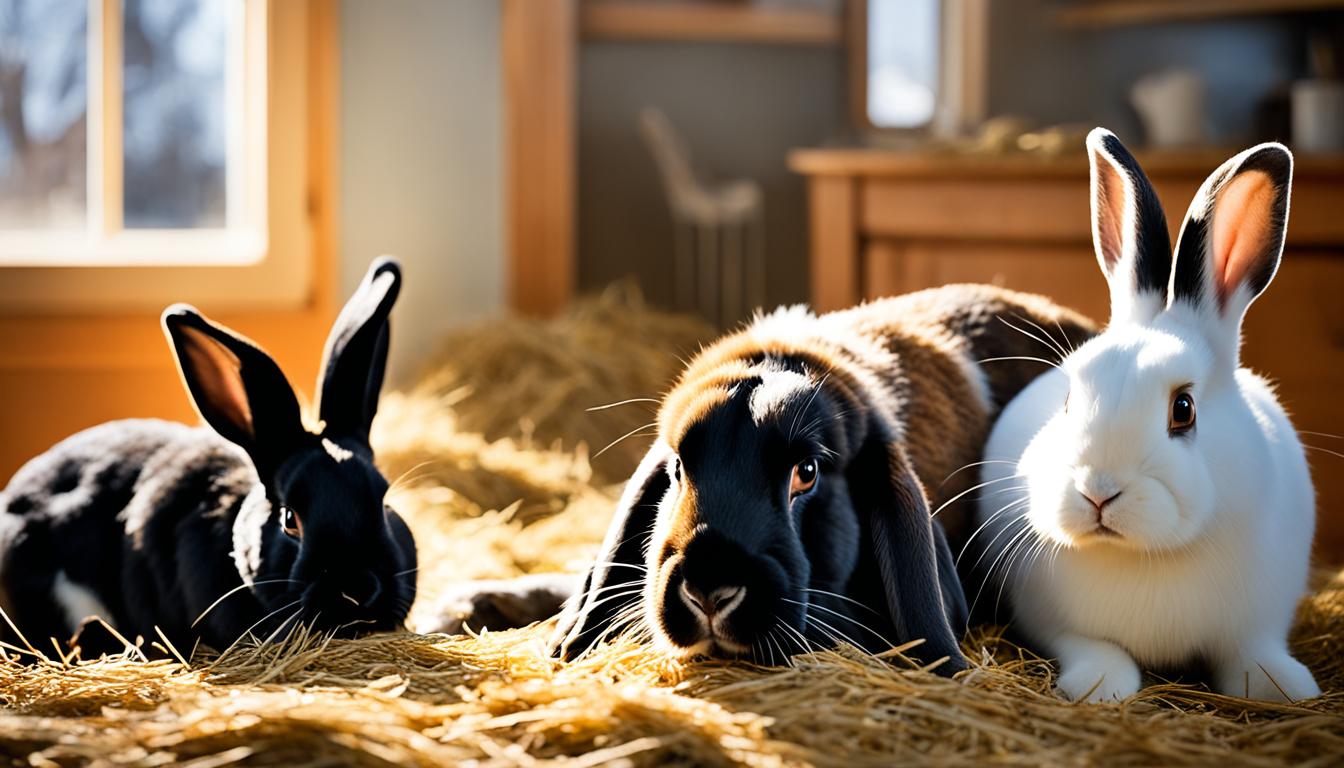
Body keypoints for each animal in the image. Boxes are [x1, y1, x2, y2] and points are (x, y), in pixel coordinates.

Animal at [975, 128, 1320, 703]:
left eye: (1184, 410)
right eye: (1068, 399)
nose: (1097, 492)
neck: (1147, 556)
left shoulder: (1257, 624)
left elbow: (1253, 656)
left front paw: (1290, 688)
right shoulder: (1057, 624)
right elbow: (1096, 650)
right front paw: (1099, 688)